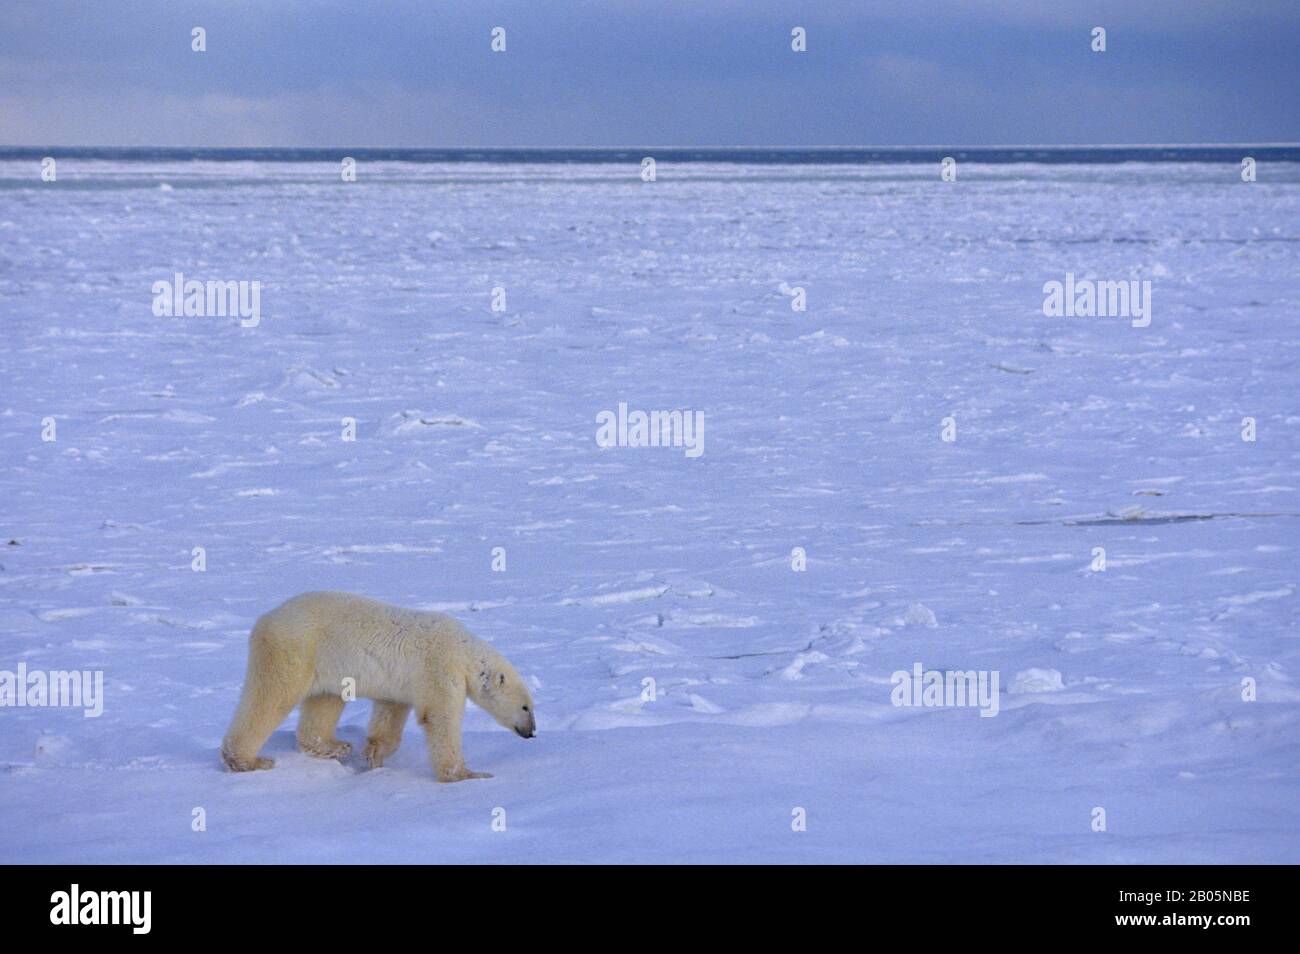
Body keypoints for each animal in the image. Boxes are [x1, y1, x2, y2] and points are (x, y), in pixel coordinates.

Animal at [220, 591, 535, 782]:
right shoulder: (439, 668)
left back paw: (336, 746)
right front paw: (467, 774)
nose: (532, 732)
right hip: (294, 651)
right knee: (271, 697)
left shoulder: (402, 683)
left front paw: (374, 756)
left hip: (328, 664)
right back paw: (249, 761)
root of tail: (265, 618)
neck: (464, 650)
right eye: (525, 707)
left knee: (325, 702)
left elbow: (390, 714)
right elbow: (440, 718)